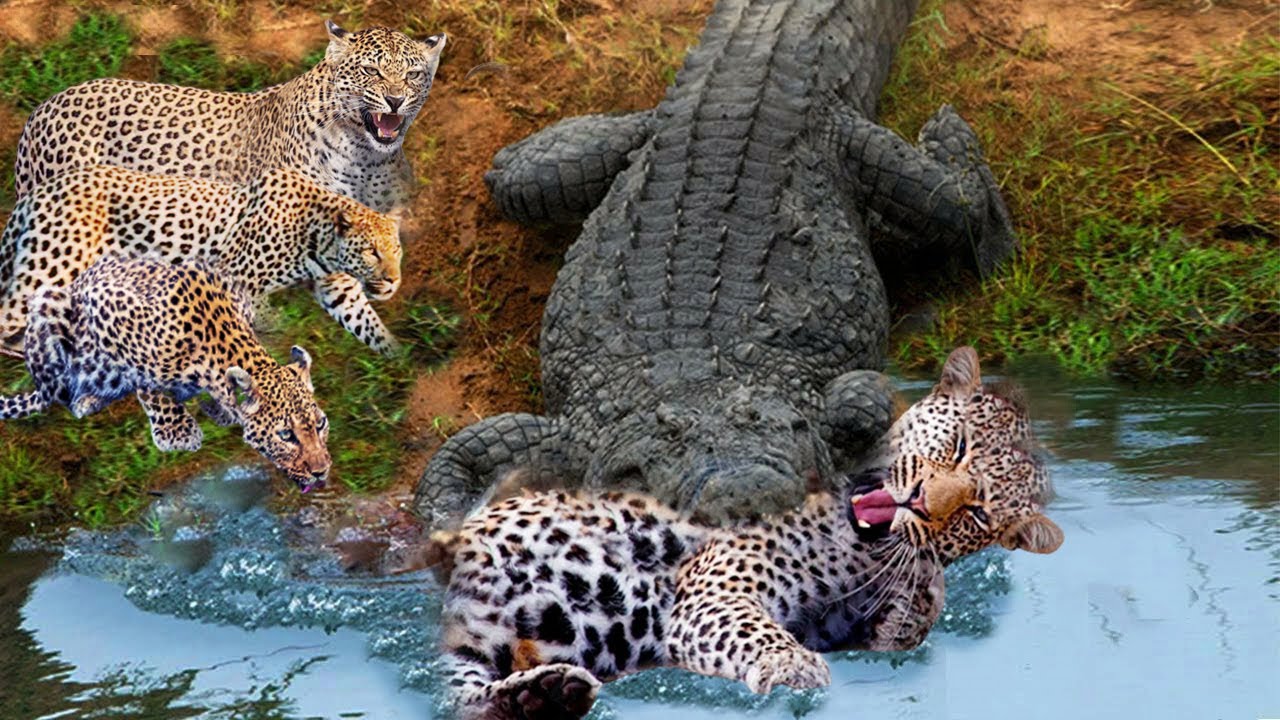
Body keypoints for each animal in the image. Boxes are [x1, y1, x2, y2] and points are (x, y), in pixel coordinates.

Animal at [0, 164, 403, 358]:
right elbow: (261, 320)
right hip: (50, 265)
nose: (394, 280)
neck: (318, 239)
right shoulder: (236, 276)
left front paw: (397, 357)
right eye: (372, 251)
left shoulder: (338, 289)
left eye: (395, 250)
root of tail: (41, 190)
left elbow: (368, 324)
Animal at [0, 256, 332, 492]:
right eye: (286, 435)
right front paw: (177, 432)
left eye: (321, 424)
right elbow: (144, 378)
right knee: (52, 392)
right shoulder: (109, 307)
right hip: (47, 305)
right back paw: (85, 399)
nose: (322, 471)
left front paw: (218, 410)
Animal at [431, 346, 1063, 719]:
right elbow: (752, 630)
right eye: (957, 446)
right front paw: (792, 667)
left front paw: (914, 607)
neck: (862, 555)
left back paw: (540, 696)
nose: (924, 503)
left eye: (977, 514)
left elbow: (903, 618)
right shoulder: (715, 587)